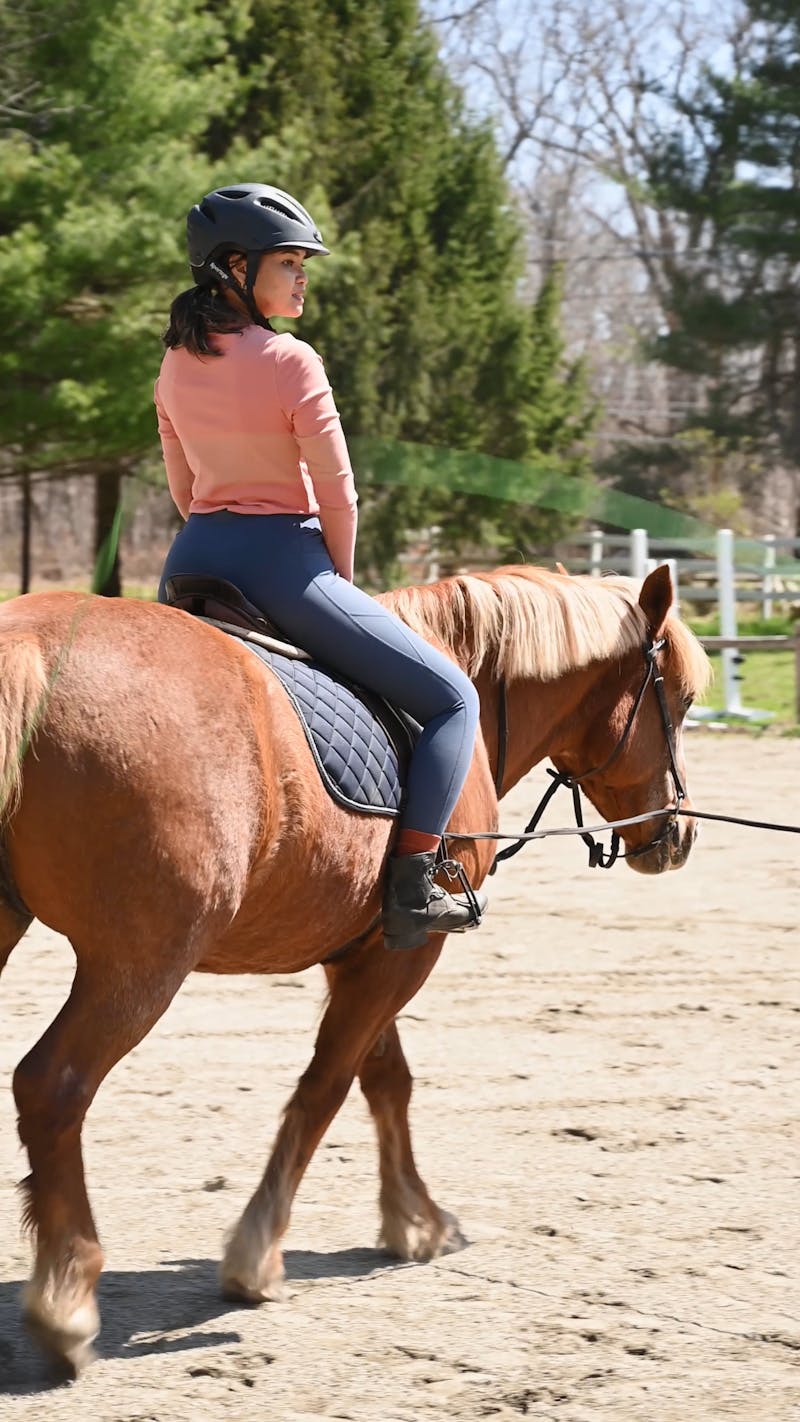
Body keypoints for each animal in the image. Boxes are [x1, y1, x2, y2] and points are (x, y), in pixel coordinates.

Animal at [0, 561, 710, 1373]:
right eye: (681, 701)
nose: (679, 835)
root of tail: (29, 645)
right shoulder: (411, 950)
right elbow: (328, 1087)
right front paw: (256, 1253)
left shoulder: (369, 952)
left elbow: (385, 1079)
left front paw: (416, 1218)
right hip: (144, 962)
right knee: (54, 1086)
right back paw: (67, 1296)